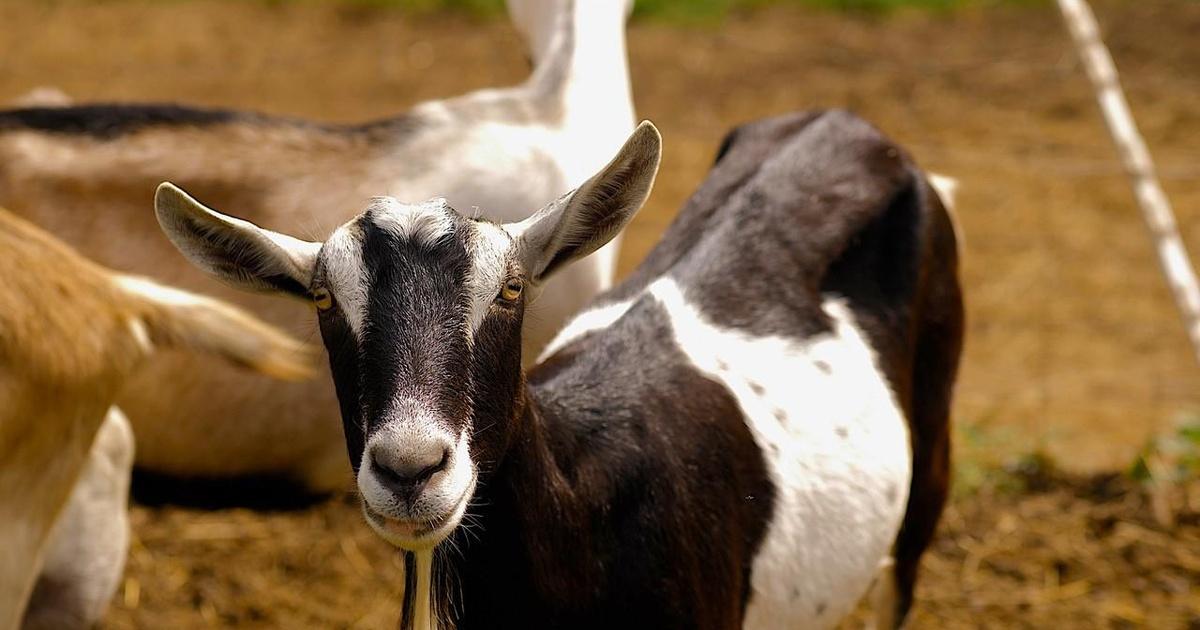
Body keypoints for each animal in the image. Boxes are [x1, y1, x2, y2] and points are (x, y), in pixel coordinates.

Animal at [154, 110, 963, 629]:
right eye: (323, 298)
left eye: (511, 290)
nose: (411, 469)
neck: (590, 508)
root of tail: (849, 126)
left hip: (931, 451)